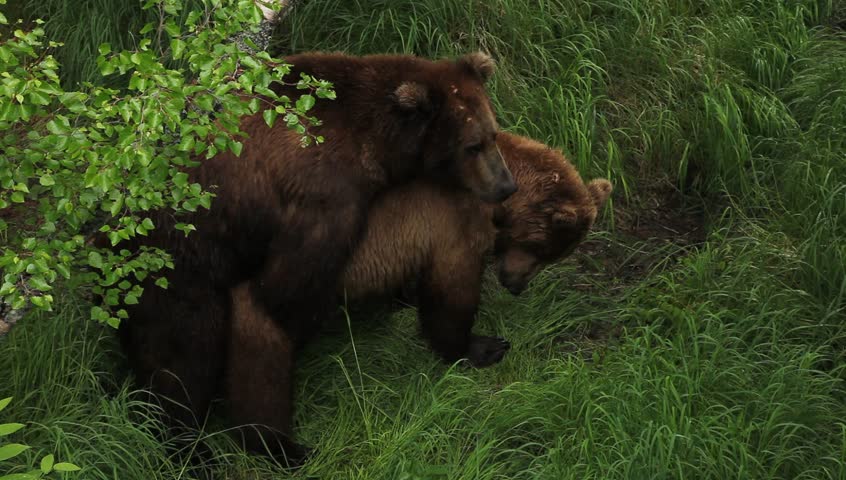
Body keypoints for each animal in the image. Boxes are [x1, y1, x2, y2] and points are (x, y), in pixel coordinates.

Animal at [116, 51, 515, 465]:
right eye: (472, 145)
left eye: (493, 134)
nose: (506, 186)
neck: (371, 141)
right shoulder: (324, 197)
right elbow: (281, 296)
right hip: (179, 267)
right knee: (185, 356)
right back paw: (230, 447)